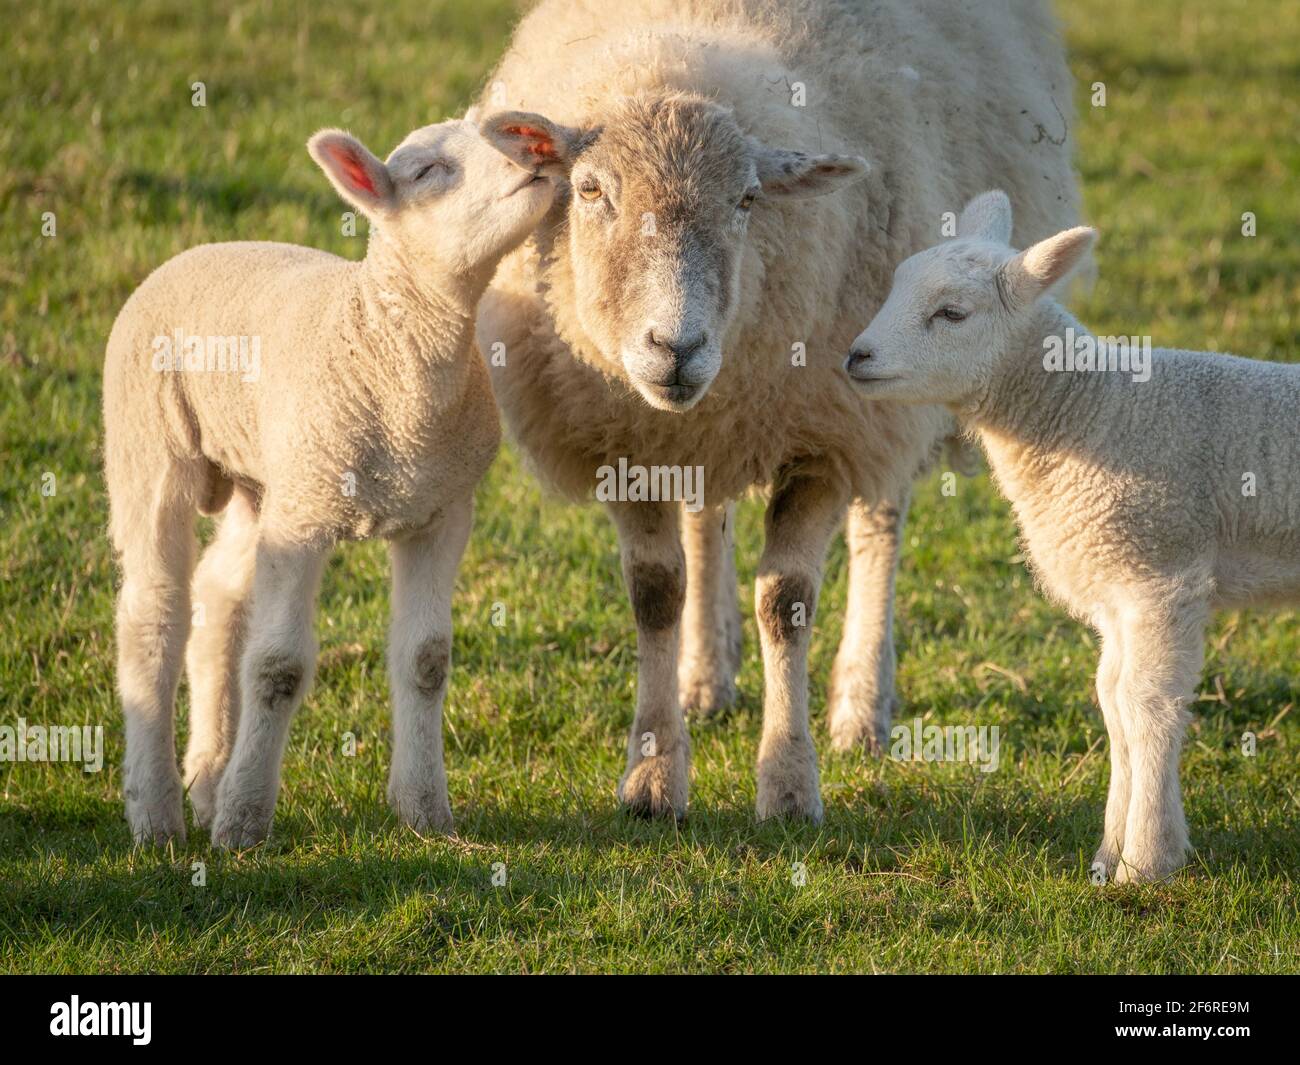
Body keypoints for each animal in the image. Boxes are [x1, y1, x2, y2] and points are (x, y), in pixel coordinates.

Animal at [103, 116, 565, 848]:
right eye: (429, 171)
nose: (536, 153)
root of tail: (196, 250)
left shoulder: (442, 511)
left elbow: (426, 660)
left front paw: (425, 810)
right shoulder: (306, 519)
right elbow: (277, 667)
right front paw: (244, 823)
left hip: (267, 474)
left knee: (218, 595)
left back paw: (207, 777)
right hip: (152, 439)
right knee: (154, 610)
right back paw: (156, 813)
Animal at [474, 0, 1087, 821]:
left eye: (746, 199)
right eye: (592, 190)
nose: (677, 346)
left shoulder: (824, 437)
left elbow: (786, 601)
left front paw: (790, 781)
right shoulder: (629, 443)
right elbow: (656, 593)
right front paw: (654, 775)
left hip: (884, 382)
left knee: (879, 521)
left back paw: (861, 704)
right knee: (706, 518)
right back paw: (706, 675)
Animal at [846, 189, 1300, 882]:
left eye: (952, 313)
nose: (856, 356)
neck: (1091, 408)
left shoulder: (1160, 573)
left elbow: (1147, 705)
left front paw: (1147, 862)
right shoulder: (1114, 583)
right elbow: (1112, 701)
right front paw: (1108, 856)